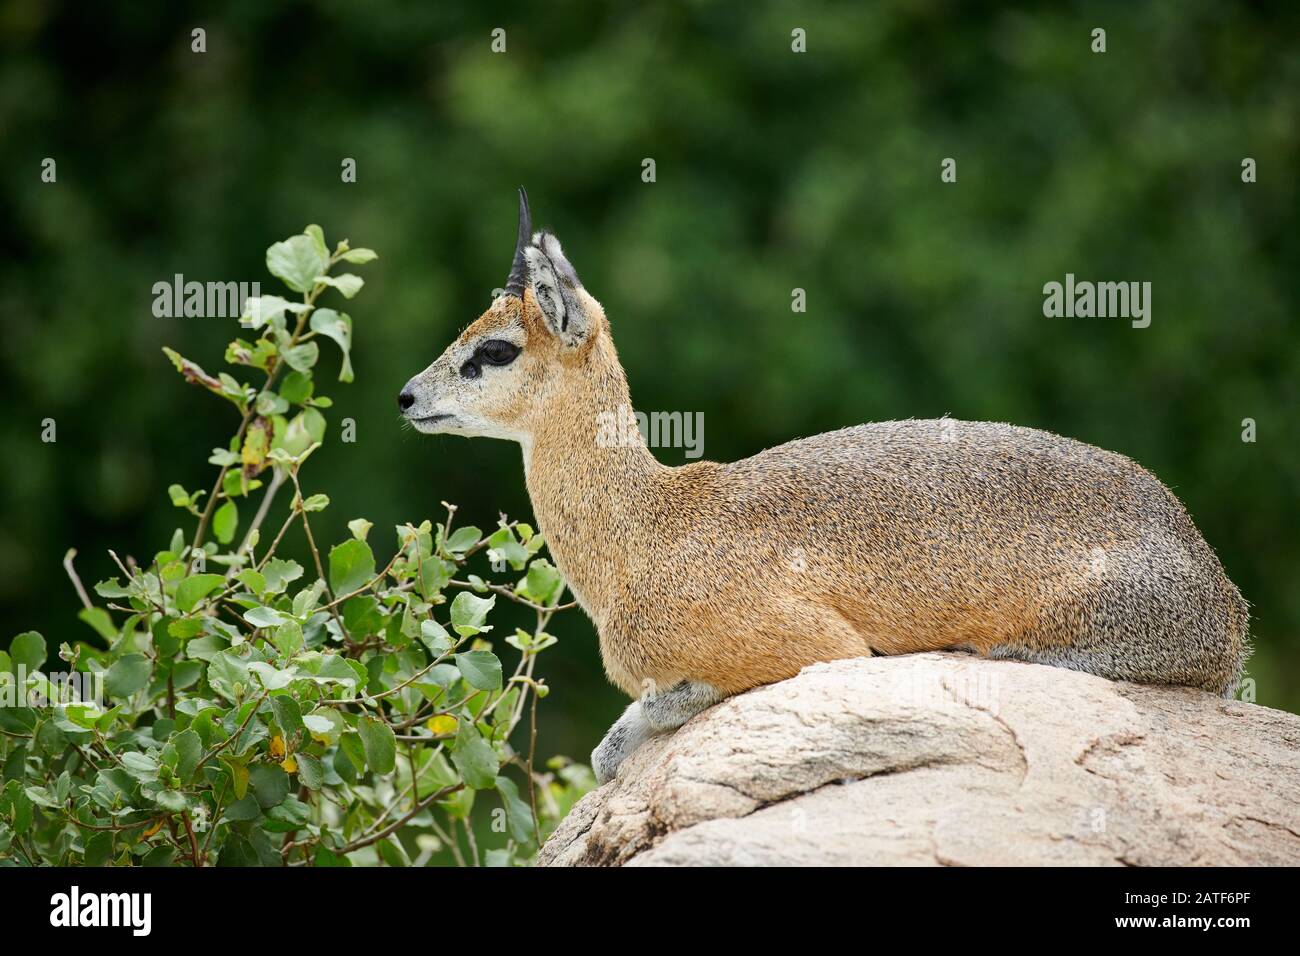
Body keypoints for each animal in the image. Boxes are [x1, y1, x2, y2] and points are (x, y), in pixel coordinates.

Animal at [399, 189, 1250, 783]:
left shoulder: (824, 649)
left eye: (496, 349)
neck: (650, 530)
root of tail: (1224, 598)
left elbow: (648, 718)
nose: (407, 396)